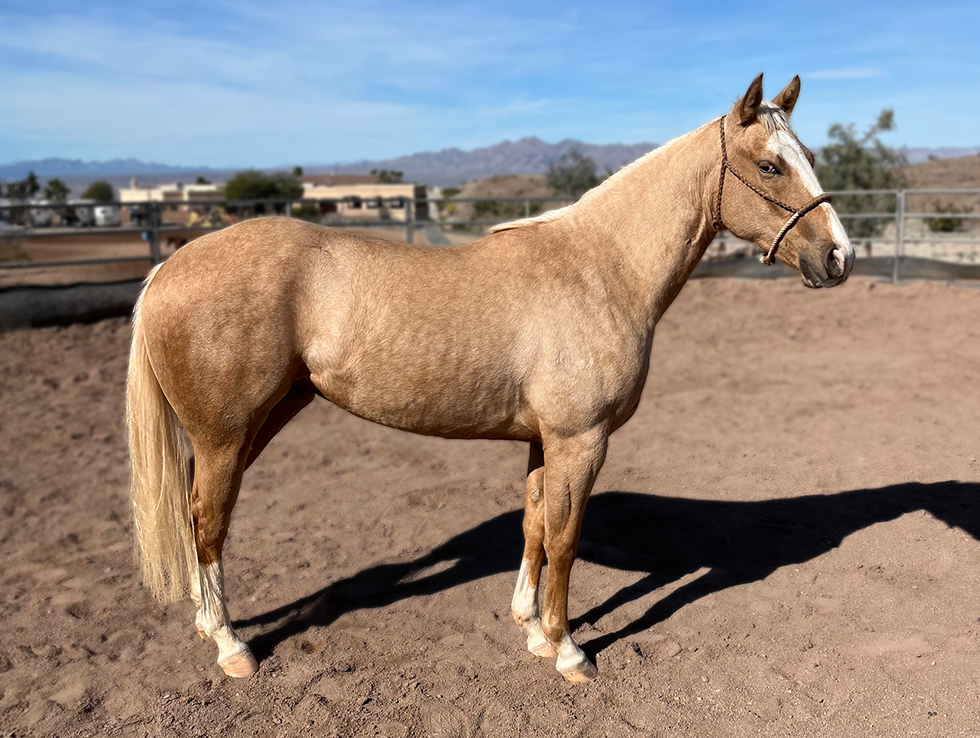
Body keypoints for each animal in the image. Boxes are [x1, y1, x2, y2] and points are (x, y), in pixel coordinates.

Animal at [127, 73, 854, 683]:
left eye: (808, 155)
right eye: (769, 165)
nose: (838, 257)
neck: (602, 266)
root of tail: (170, 266)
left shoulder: (543, 441)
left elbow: (534, 526)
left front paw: (530, 628)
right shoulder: (581, 440)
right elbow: (564, 539)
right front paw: (568, 650)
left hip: (260, 420)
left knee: (197, 513)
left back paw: (207, 623)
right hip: (227, 432)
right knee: (208, 520)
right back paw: (232, 647)